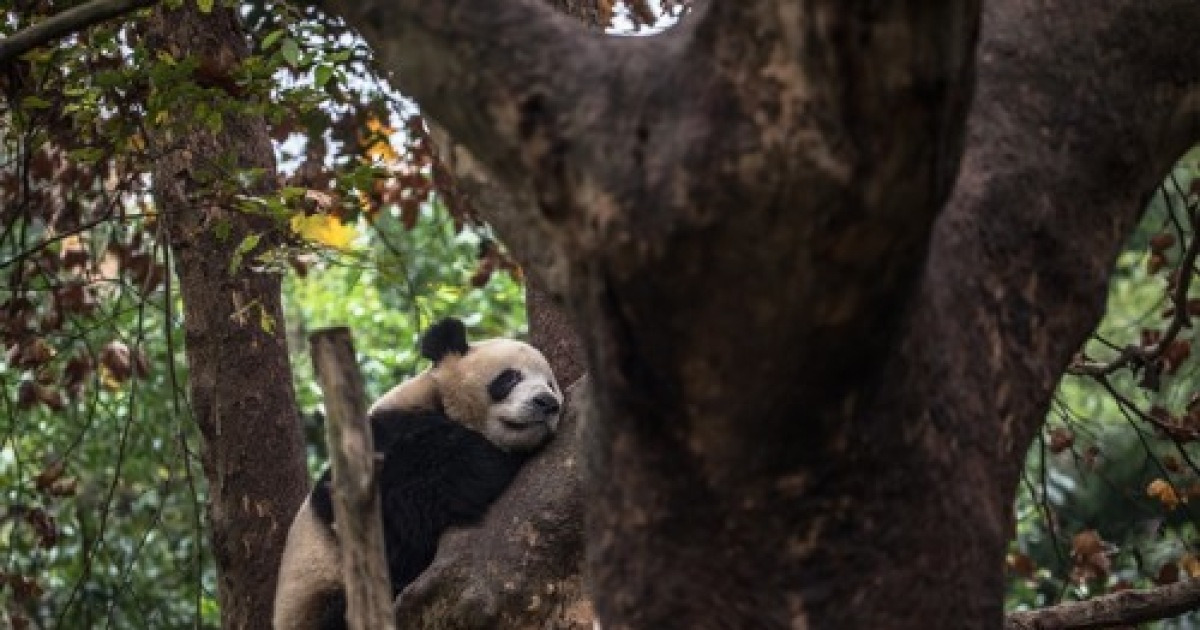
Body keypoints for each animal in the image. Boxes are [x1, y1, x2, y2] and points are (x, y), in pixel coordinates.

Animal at [273, 317, 563, 630]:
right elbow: (418, 502)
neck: (436, 398)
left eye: (551, 385)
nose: (547, 402)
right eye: (510, 378)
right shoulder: (385, 443)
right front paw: (501, 460)